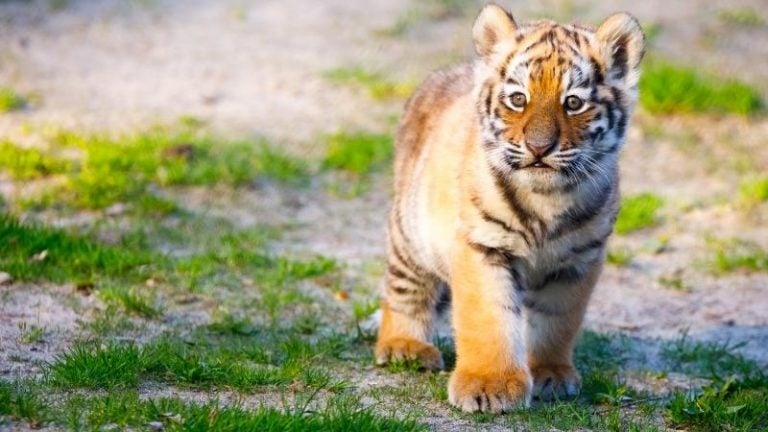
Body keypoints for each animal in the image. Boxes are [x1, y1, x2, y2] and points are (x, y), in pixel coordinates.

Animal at [374, 3, 644, 413]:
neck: (547, 198)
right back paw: (404, 346)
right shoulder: (482, 247)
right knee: (405, 291)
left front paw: (550, 373)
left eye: (573, 103)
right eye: (518, 99)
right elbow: (489, 319)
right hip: (411, 237)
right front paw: (489, 385)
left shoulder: (577, 261)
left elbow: (557, 321)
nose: (539, 147)